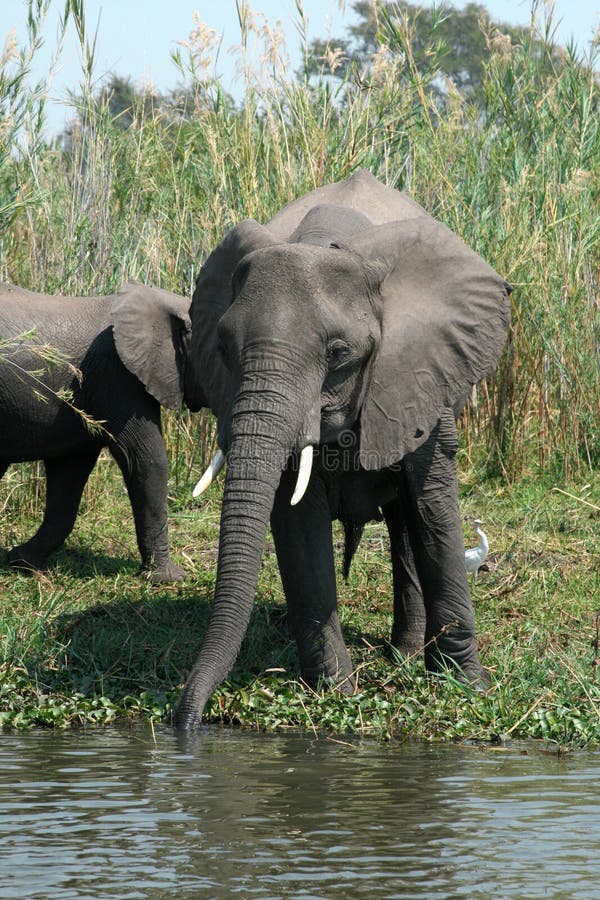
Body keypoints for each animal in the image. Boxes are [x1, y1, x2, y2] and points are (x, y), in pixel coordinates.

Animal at [177, 169, 511, 728]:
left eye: (338, 354)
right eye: (222, 349)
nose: (185, 722)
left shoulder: (422, 368)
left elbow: (434, 508)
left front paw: (469, 690)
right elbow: (296, 521)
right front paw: (336, 694)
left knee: (407, 524)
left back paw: (406, 657)